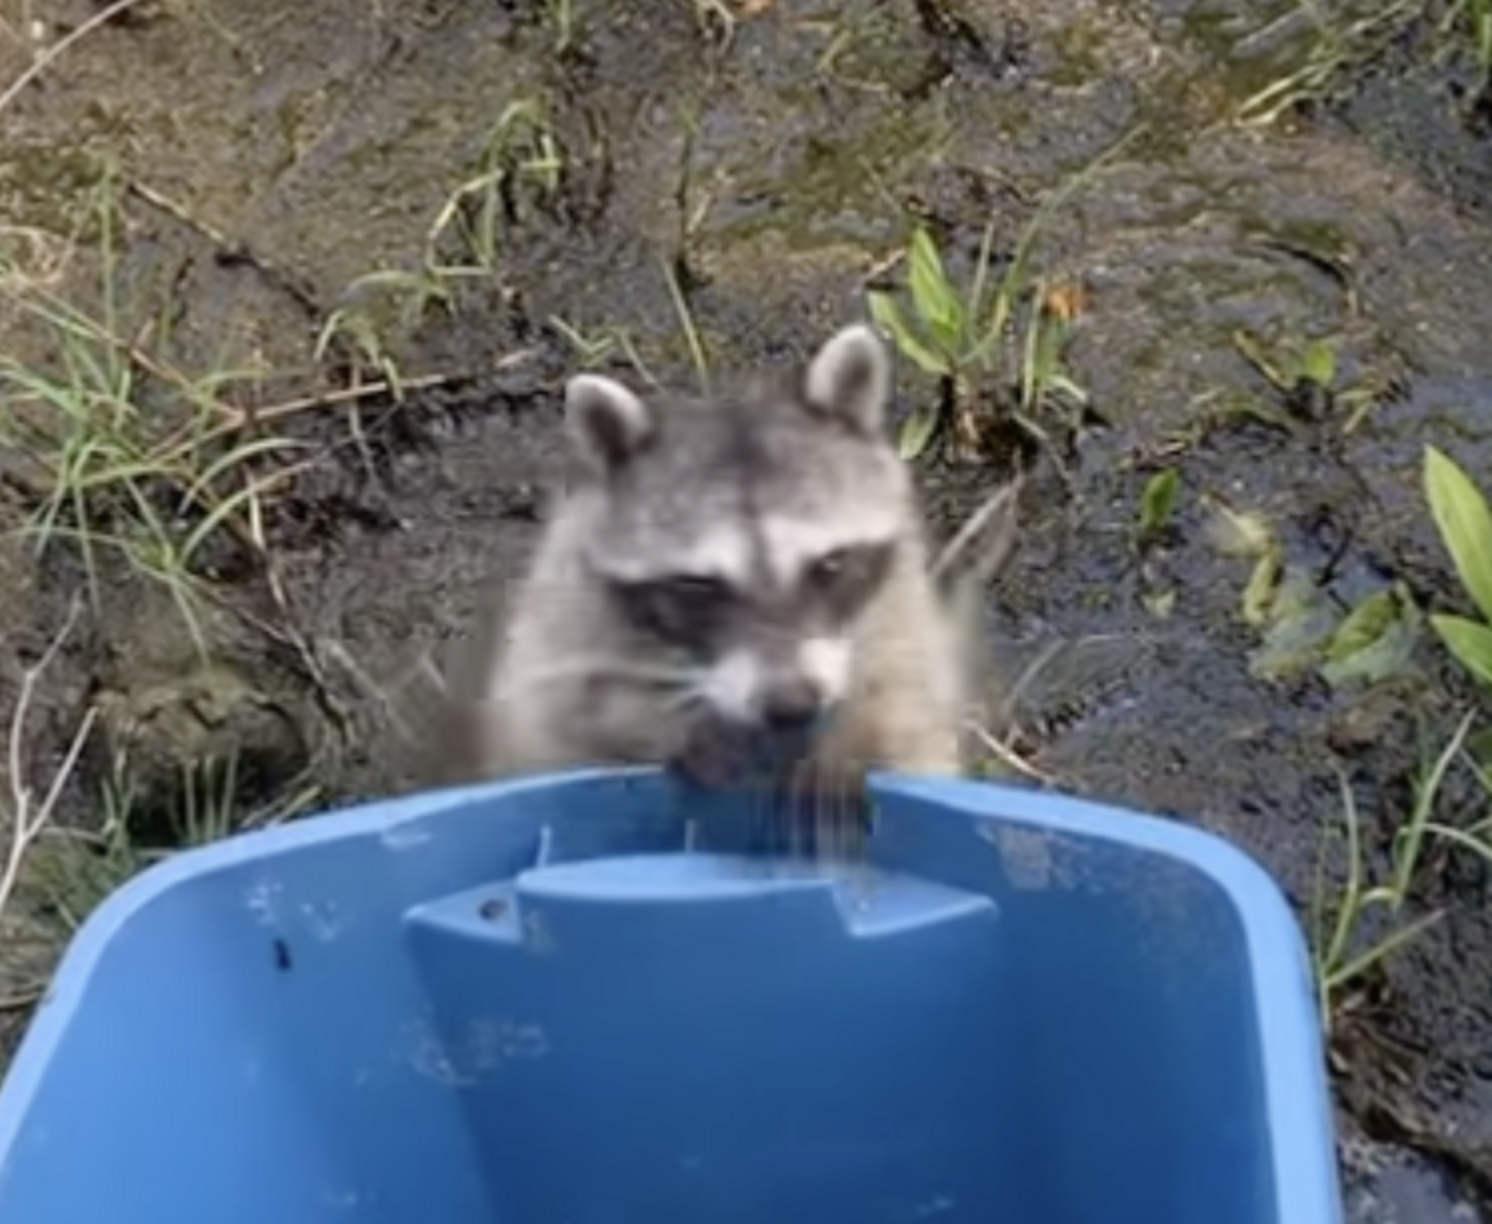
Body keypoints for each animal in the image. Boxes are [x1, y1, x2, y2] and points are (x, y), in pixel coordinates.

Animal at [424, 323, 1017, 826]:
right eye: (697, 586)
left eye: (829, 565)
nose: (791, 705)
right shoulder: (566, 590)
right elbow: (561, 703)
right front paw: (670, 725)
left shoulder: (897, 590)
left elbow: (910, 683)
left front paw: (854, 729)